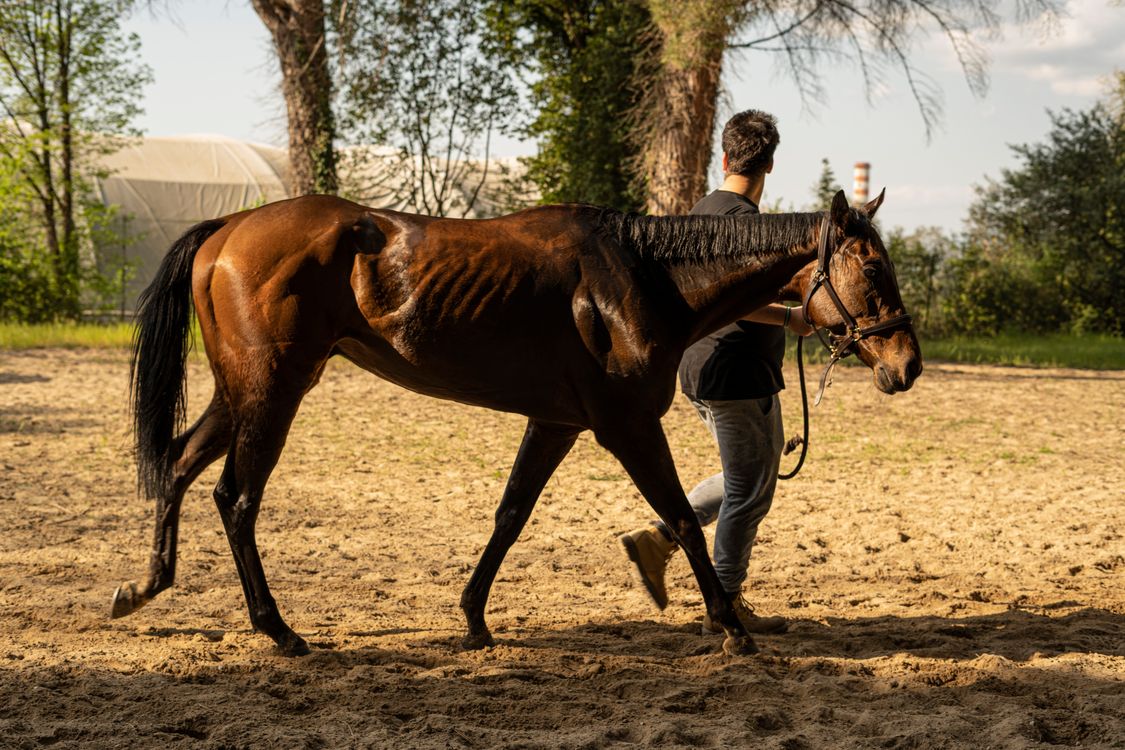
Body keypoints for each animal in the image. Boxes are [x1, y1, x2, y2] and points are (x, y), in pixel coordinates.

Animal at [111, 188, 921, 658]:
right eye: (872, 268)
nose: (907, 364)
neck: (642, 278)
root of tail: (229, 229)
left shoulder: (554, 423)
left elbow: (508, 517)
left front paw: (473, 619)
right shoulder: (627, 426)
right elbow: (683, 522)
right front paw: (730, 623)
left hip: (243, 392)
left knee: (178, 466)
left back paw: (146, 586)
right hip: (272, 393)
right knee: (237, 500)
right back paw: (277, 629)